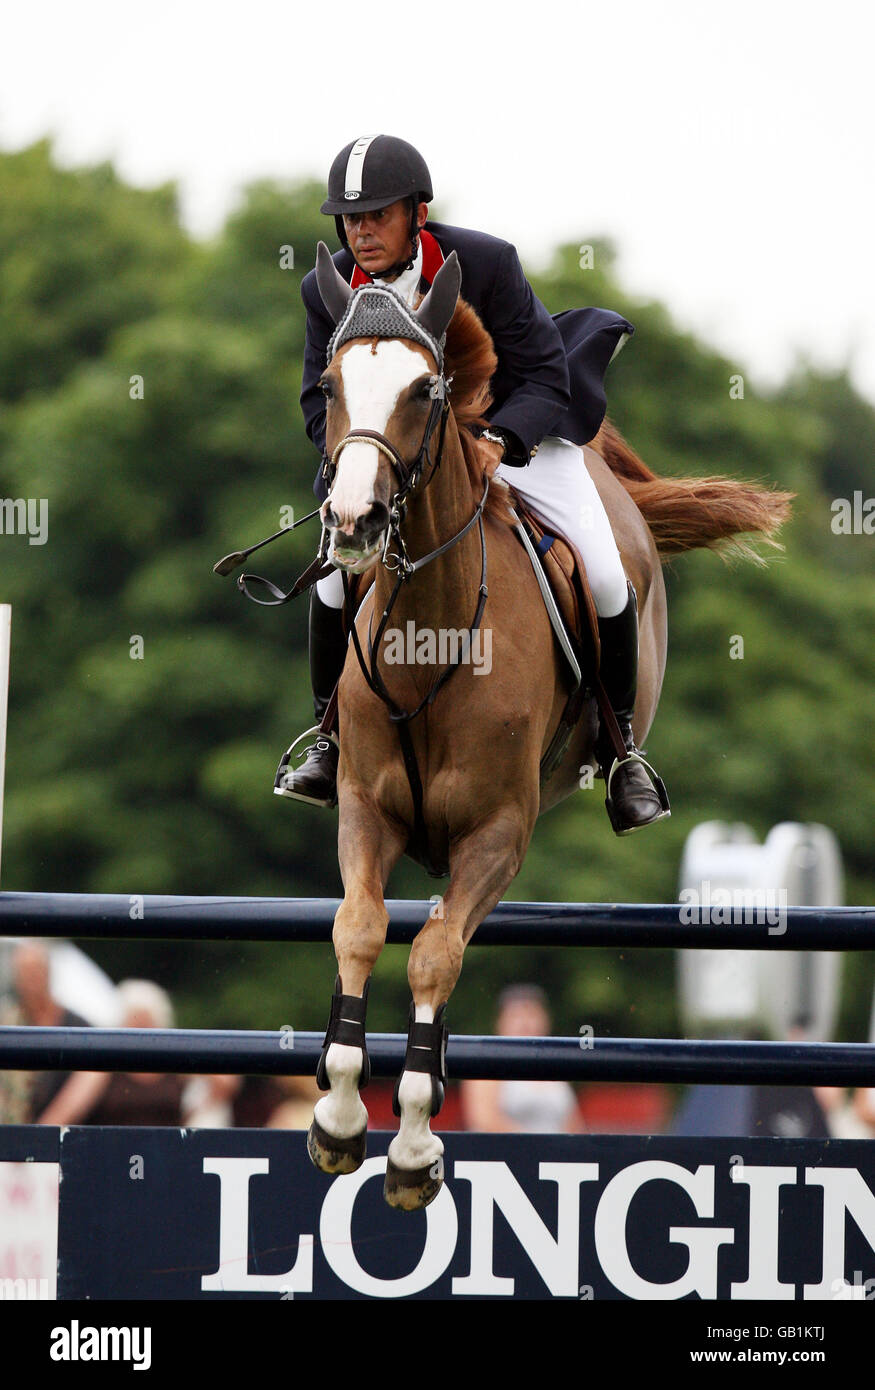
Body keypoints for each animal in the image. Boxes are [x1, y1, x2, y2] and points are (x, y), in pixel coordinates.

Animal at [305, 243, 791, 1209]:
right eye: (333, 385)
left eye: (425, 390)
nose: (353, 523)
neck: (430, 631)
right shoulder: (365, 812)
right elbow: (360, 927)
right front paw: (338, 1119)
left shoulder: (498, 833)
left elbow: (433, 955)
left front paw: (411, 1151)